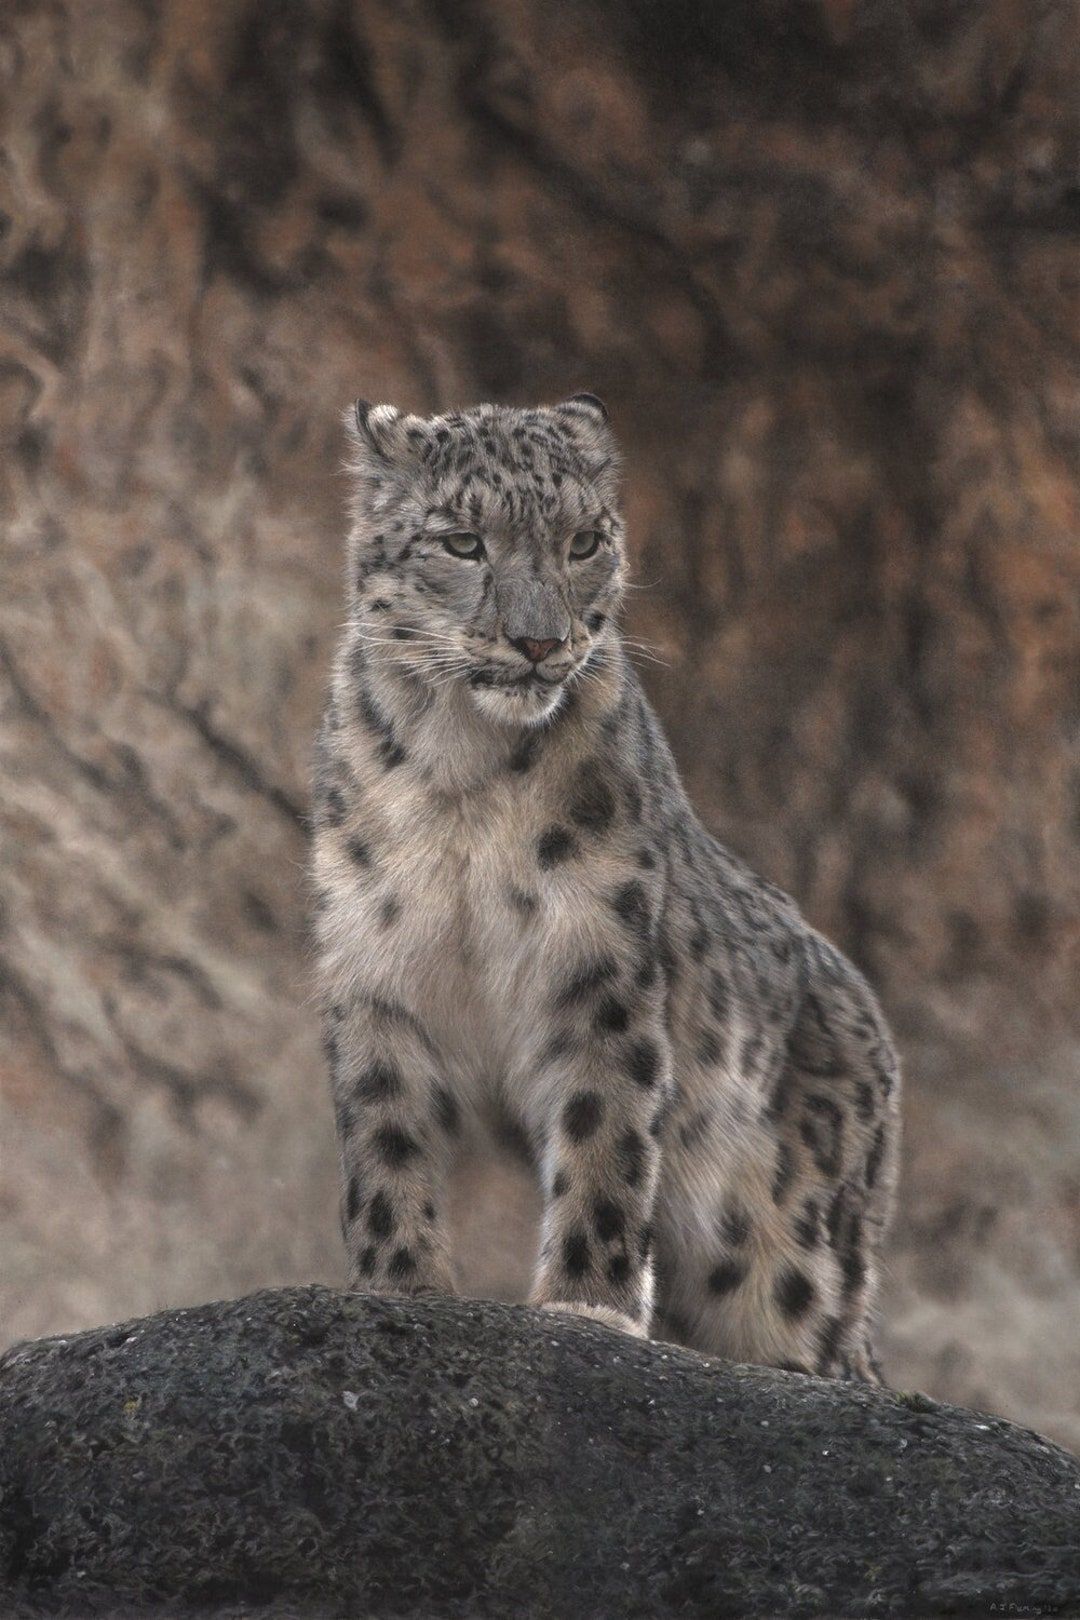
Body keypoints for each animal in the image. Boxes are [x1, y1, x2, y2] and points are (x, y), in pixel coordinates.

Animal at [311, 392, 900, 1381]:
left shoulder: (601, 962)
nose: (539, 640)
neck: (462, 779)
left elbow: (604, 1133)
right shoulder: (376, 967)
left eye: (583, 540)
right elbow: (387, 1137)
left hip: (791, 1252)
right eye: (461, 541)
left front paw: (587, 1309)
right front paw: (402, 1287)